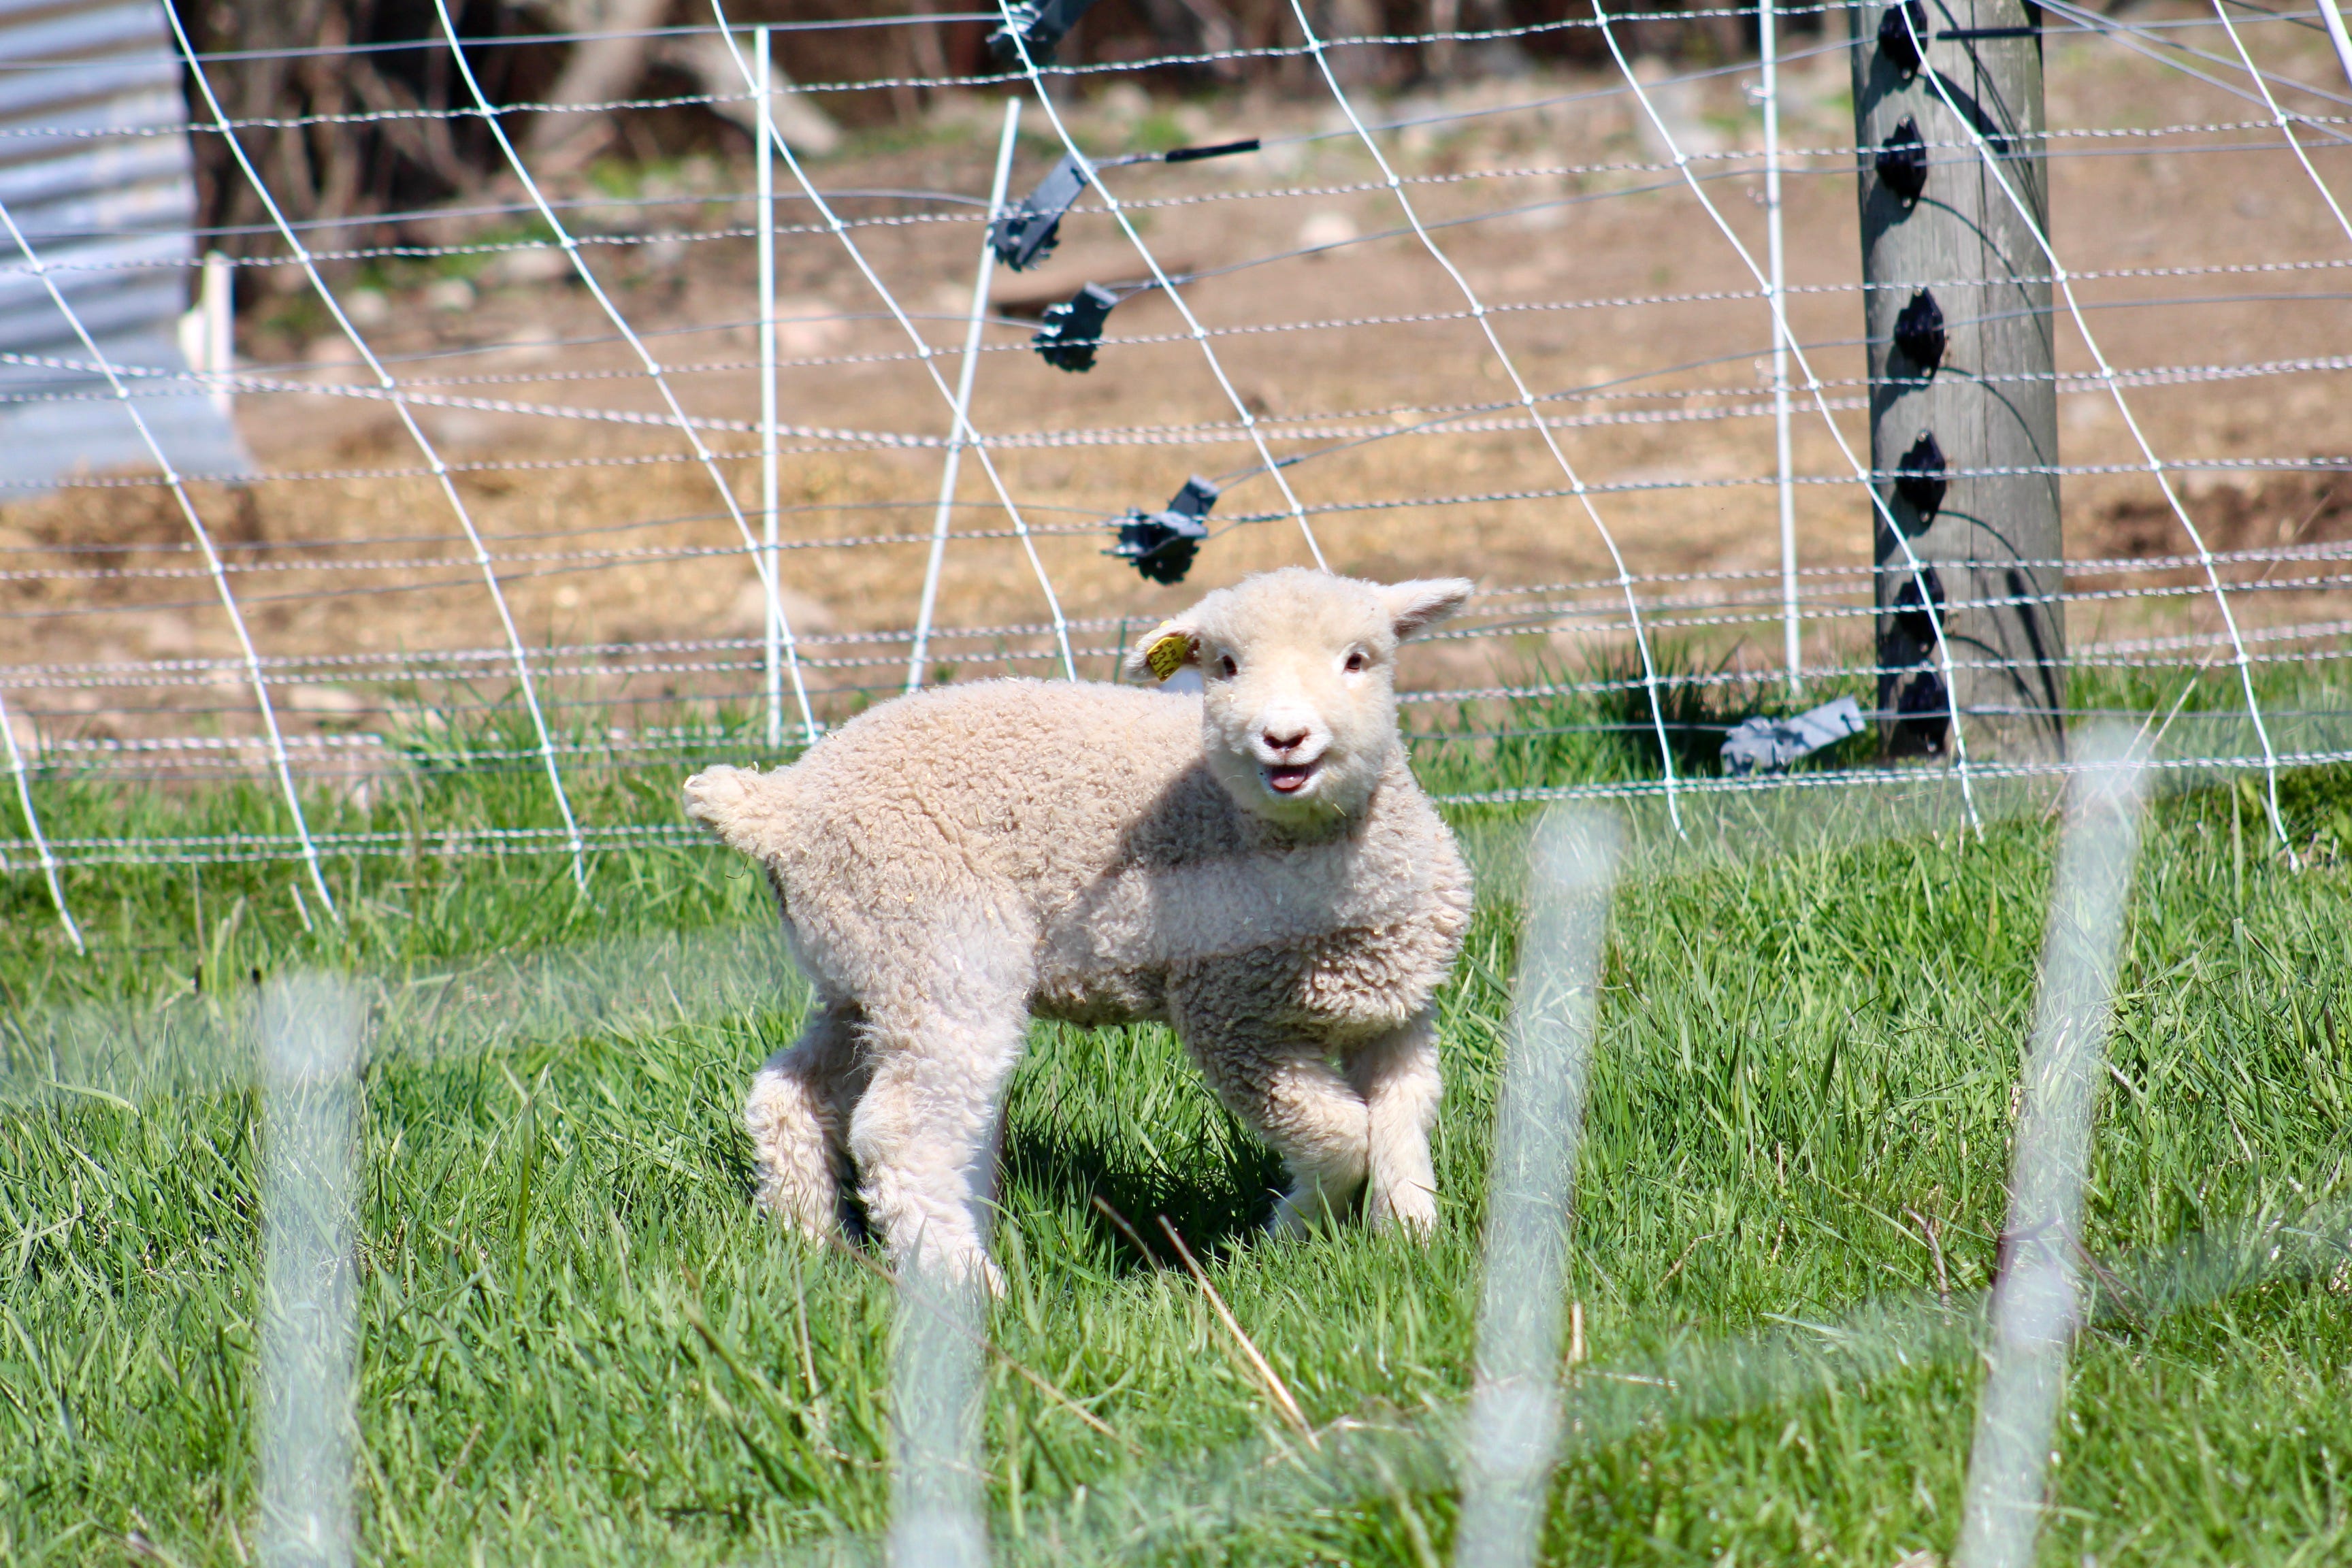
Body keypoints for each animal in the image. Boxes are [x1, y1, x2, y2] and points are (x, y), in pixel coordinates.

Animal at [682, 567, 1476, 1284]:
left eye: (1358, 660)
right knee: (901, 1133)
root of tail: (782, 801)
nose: (1283, 737)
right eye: (1225, 666)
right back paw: (962, 1281)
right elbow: (1343, 1136)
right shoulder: (1230, 1016)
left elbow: (1403, 1124)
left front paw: (1409, 1244)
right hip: (935, 944)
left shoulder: (1398, 1012)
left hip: (863, 967)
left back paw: (812, 1241)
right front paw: (1288, 1234)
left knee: (791, 1092)